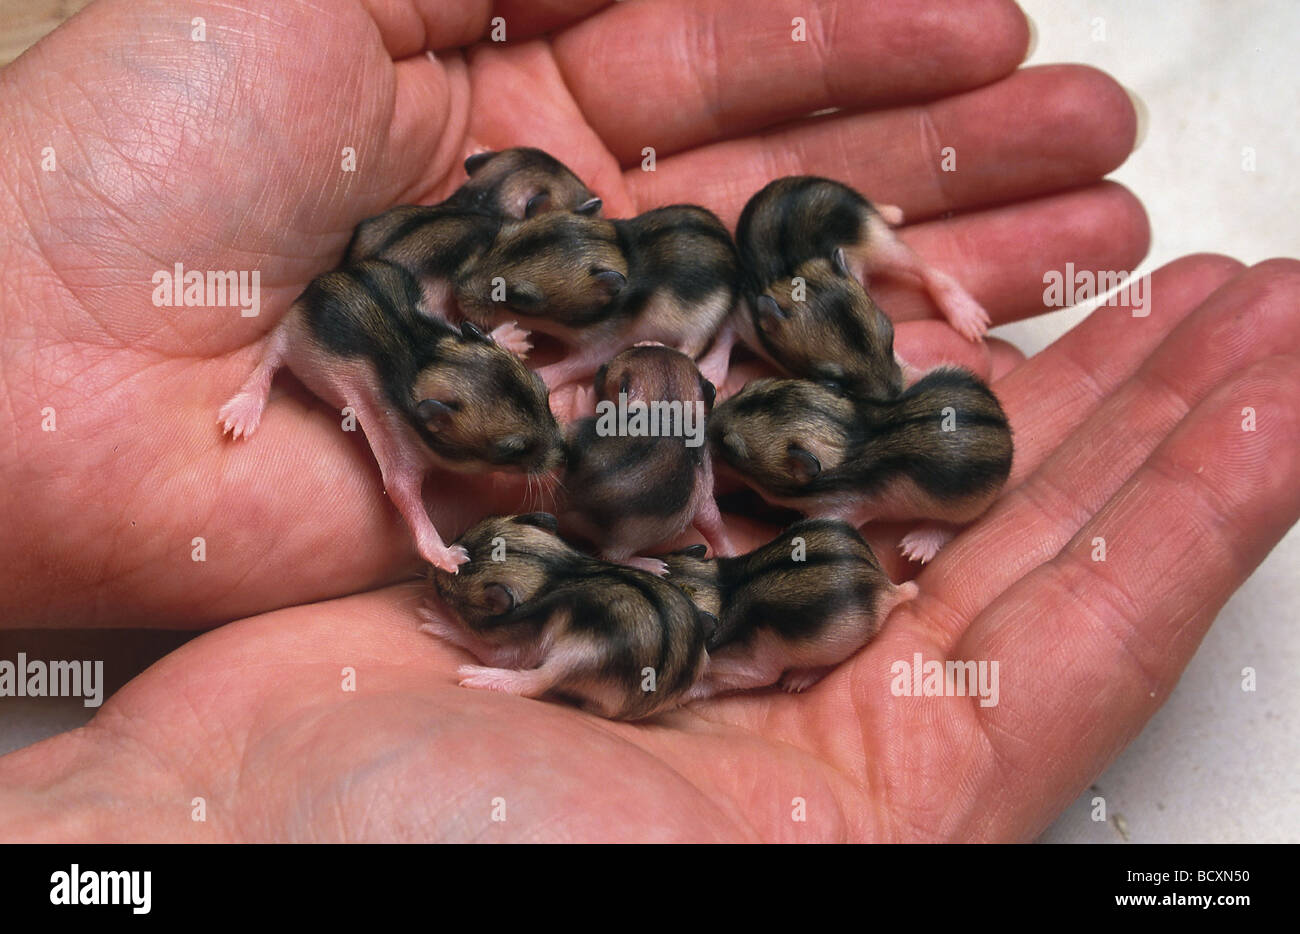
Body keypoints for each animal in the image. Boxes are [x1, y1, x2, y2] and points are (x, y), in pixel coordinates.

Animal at [217, 259, 564, 572]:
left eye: (544, 393)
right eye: (512, 449)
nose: (564, 456)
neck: (423, 360)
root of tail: (320, 281)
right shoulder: (399, 448)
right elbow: (402, 490)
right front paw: (449, 557)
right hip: (287, 334)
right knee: (268, 363)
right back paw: (240, 416)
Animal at [426, 512, 713, 720]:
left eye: (444, 592)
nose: (432, 572)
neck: (555, 570)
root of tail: (632, 708)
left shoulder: (535, 634)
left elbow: (504, 655)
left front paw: (432, 616)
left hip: (581, 653)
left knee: (534, 680)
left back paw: (474, 674)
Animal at [454, 205, 740, 389]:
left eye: (522, 299)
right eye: (498, 237)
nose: (458, 298)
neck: (622, 254)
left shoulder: (600, 345)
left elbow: (573, 365)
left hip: (703, 319)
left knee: (692, 347)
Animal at [560, 345, 733, 569]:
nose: (600, 368)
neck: (667, 407)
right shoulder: (703, 486)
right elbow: (711, 518)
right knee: (615, 557)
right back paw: (652, 566)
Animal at [707, 368, 1012, 559]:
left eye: (730, 446)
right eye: (746, 387)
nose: (705, 422)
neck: (847, 432)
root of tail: (1008, 436)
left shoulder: (841, 509)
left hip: (964, 505)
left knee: (949, 525)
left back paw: (915, 547)